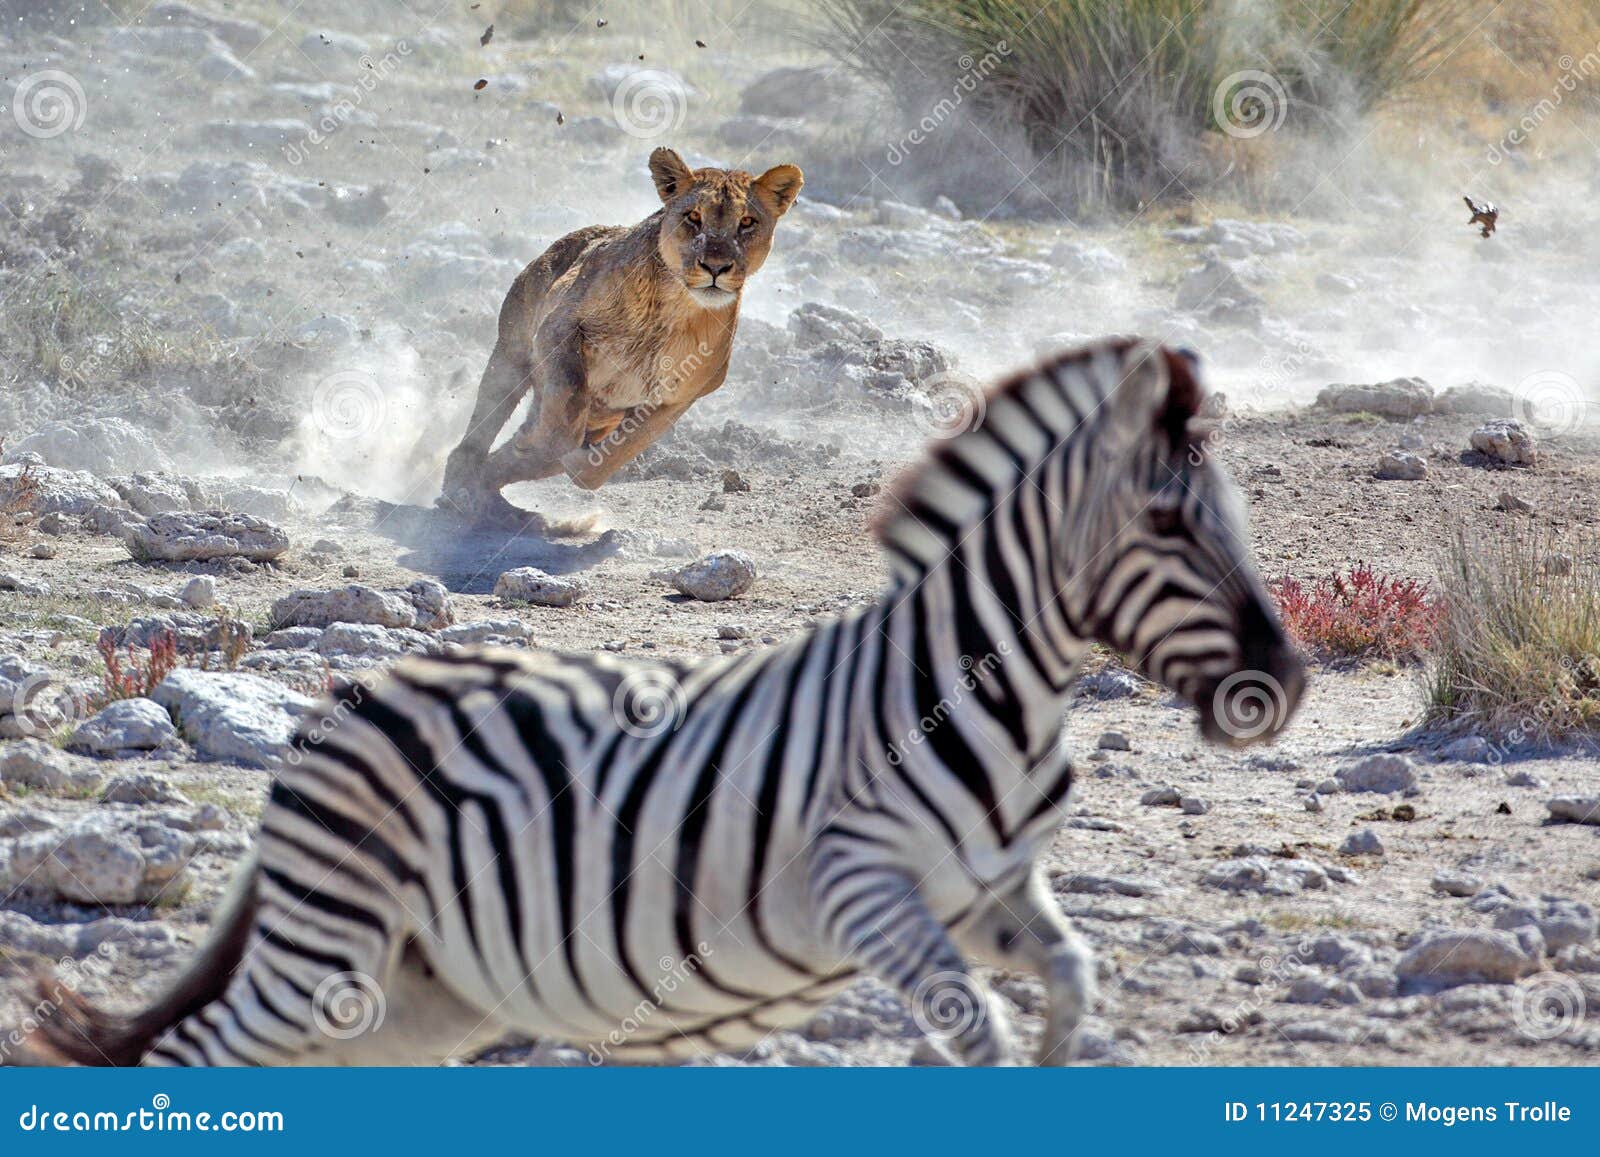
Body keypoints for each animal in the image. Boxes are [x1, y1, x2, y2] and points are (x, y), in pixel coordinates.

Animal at [42, 337, 1305, 1067]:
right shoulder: (862, 889)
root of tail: (351, 700)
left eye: (1235, 516)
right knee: (195, 1059)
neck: (967, 690)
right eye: (1165, 526)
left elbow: (1070, 980)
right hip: (329, 953)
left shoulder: (988, 893)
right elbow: (981, 1032)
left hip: (416, 985)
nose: (1283, 683)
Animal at [438, 147, 803, 526]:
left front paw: (559, 457)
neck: (676, 308)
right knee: (474, 438)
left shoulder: (680, 396)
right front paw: (535, 445)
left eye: (747, 222)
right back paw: (464, 491)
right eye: (693, 217)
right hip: (511, 355)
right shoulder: (558, 326)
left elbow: (604, 462)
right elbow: (563, 417)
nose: (715, 267)